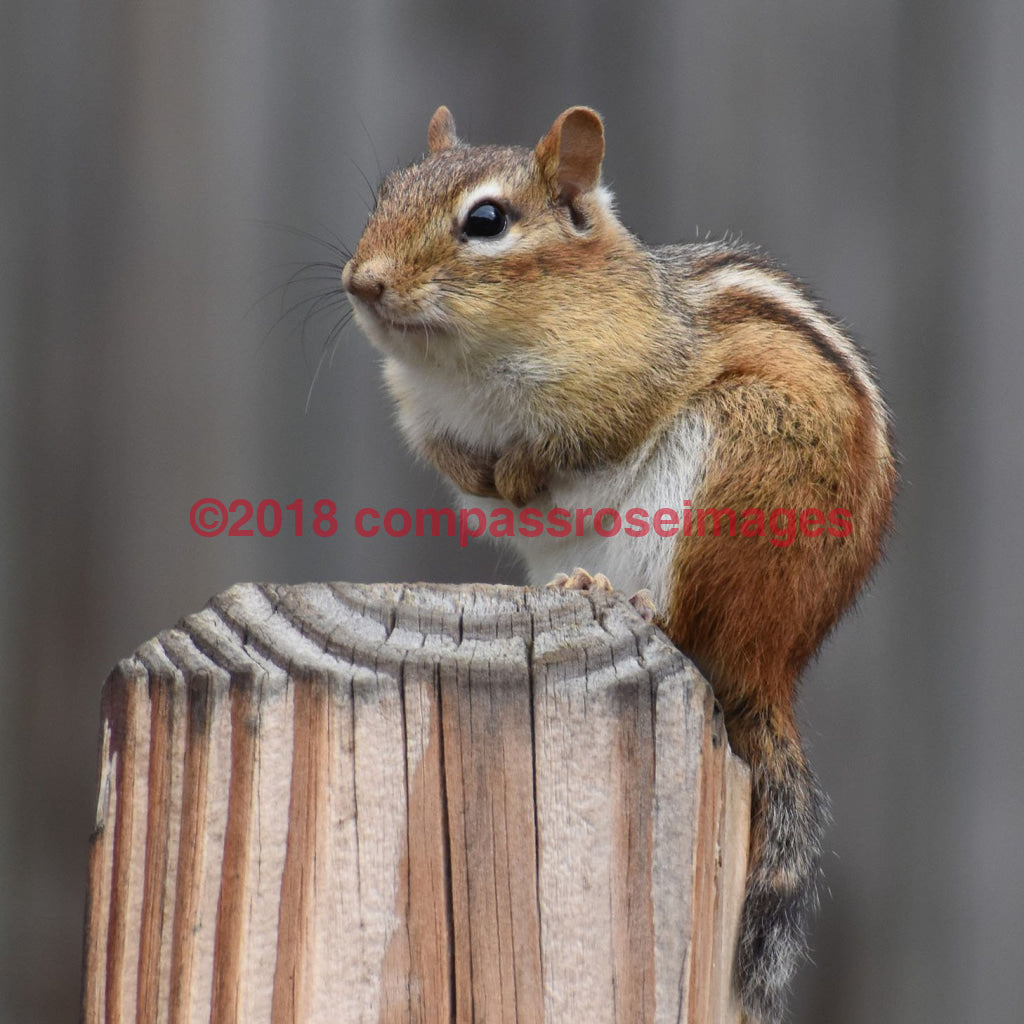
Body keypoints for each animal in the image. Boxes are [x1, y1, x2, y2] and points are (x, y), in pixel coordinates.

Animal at [342, 105, 896, 1023]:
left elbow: (587, 438)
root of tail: (773, 662)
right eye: (383, 194)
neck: (465, 366)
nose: (362, 282)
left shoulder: (632, 379)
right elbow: (451, 459)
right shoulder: (421, 411)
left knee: (685, 626)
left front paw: (523, 470)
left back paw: (617, 596)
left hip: (733, 463)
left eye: (485, 220)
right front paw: (484, 474)